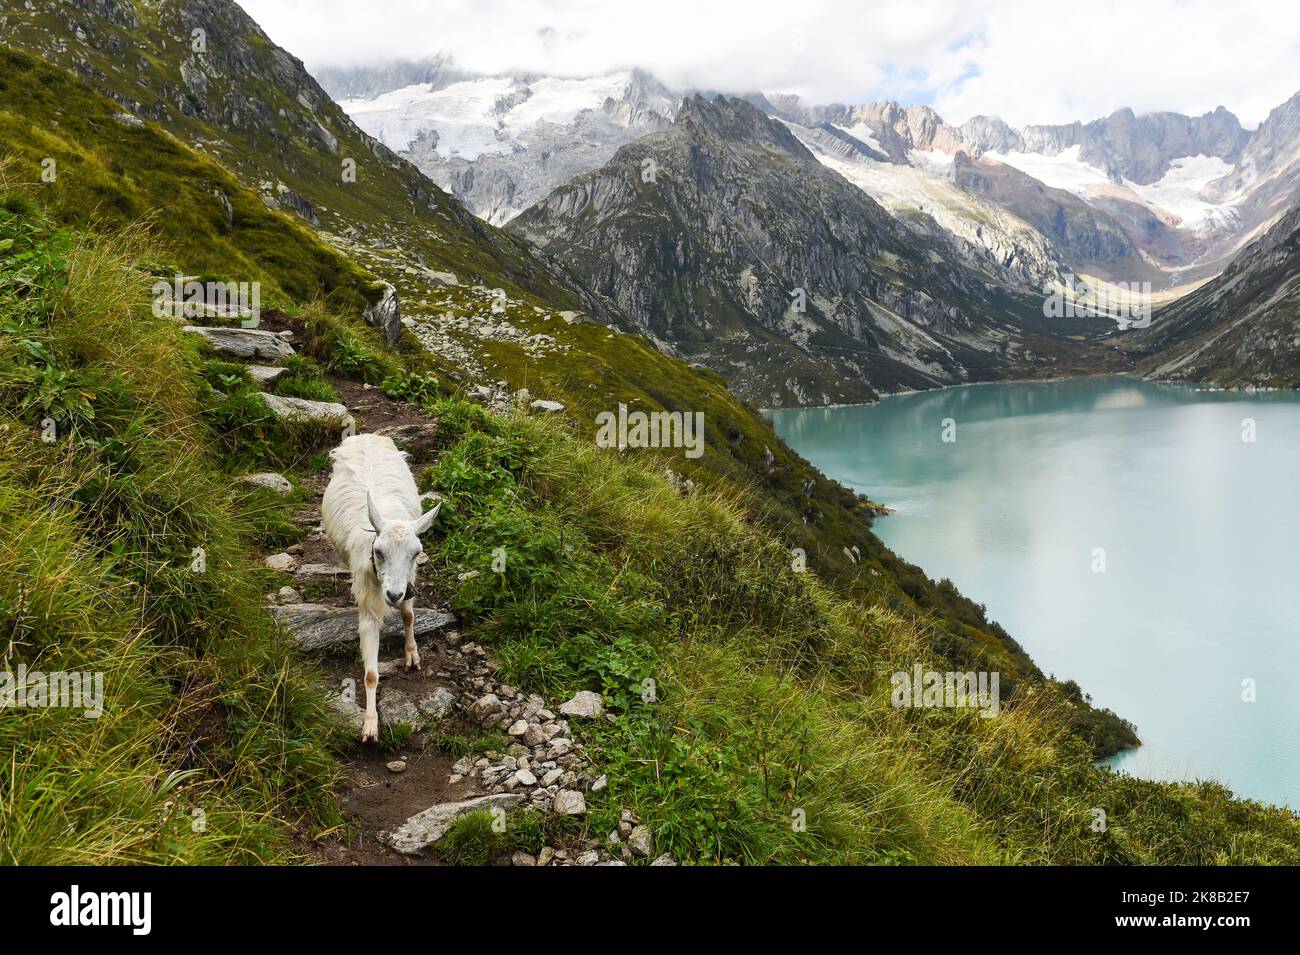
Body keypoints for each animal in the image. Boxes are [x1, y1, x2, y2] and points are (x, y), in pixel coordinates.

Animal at [322, 433, 441, 742]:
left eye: (416, 552)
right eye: (378, 551)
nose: (394, 595)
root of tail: (365, 435)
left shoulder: (409, 578)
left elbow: (409, 615)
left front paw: (412, 654)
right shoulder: (369, 596)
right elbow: (371, 673)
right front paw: (370, 725)